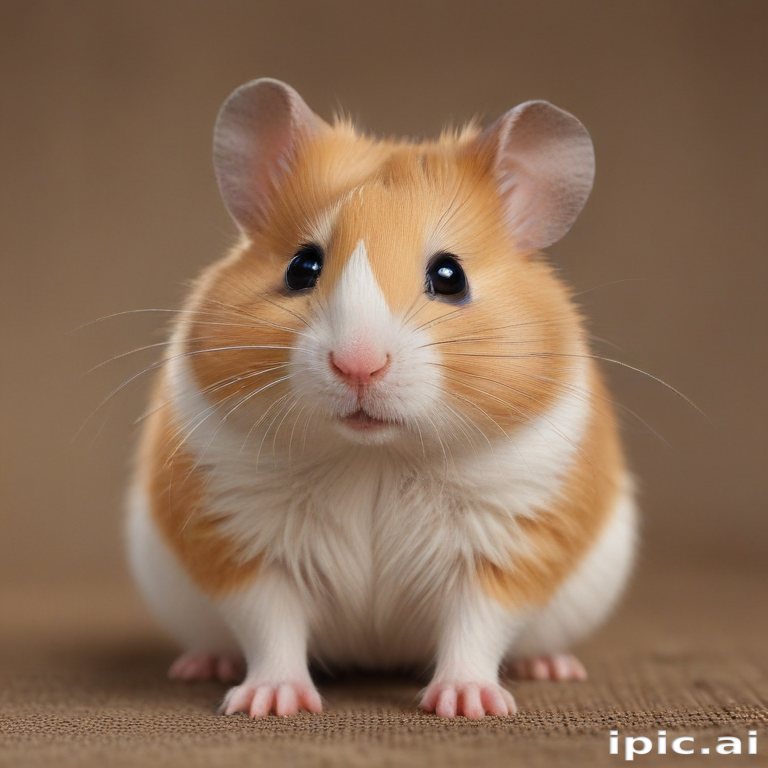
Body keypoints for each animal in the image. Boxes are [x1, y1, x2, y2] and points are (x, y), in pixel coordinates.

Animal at [126, 78, 636, 720]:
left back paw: (551, 666)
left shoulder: (506, 542)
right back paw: (202, 665)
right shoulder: (243, 539)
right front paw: (270, 702)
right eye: (302, 266)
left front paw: (466, 704)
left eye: (450, 277)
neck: (373, 456)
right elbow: (271, 625)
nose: (357, 364)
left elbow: (476, 625)